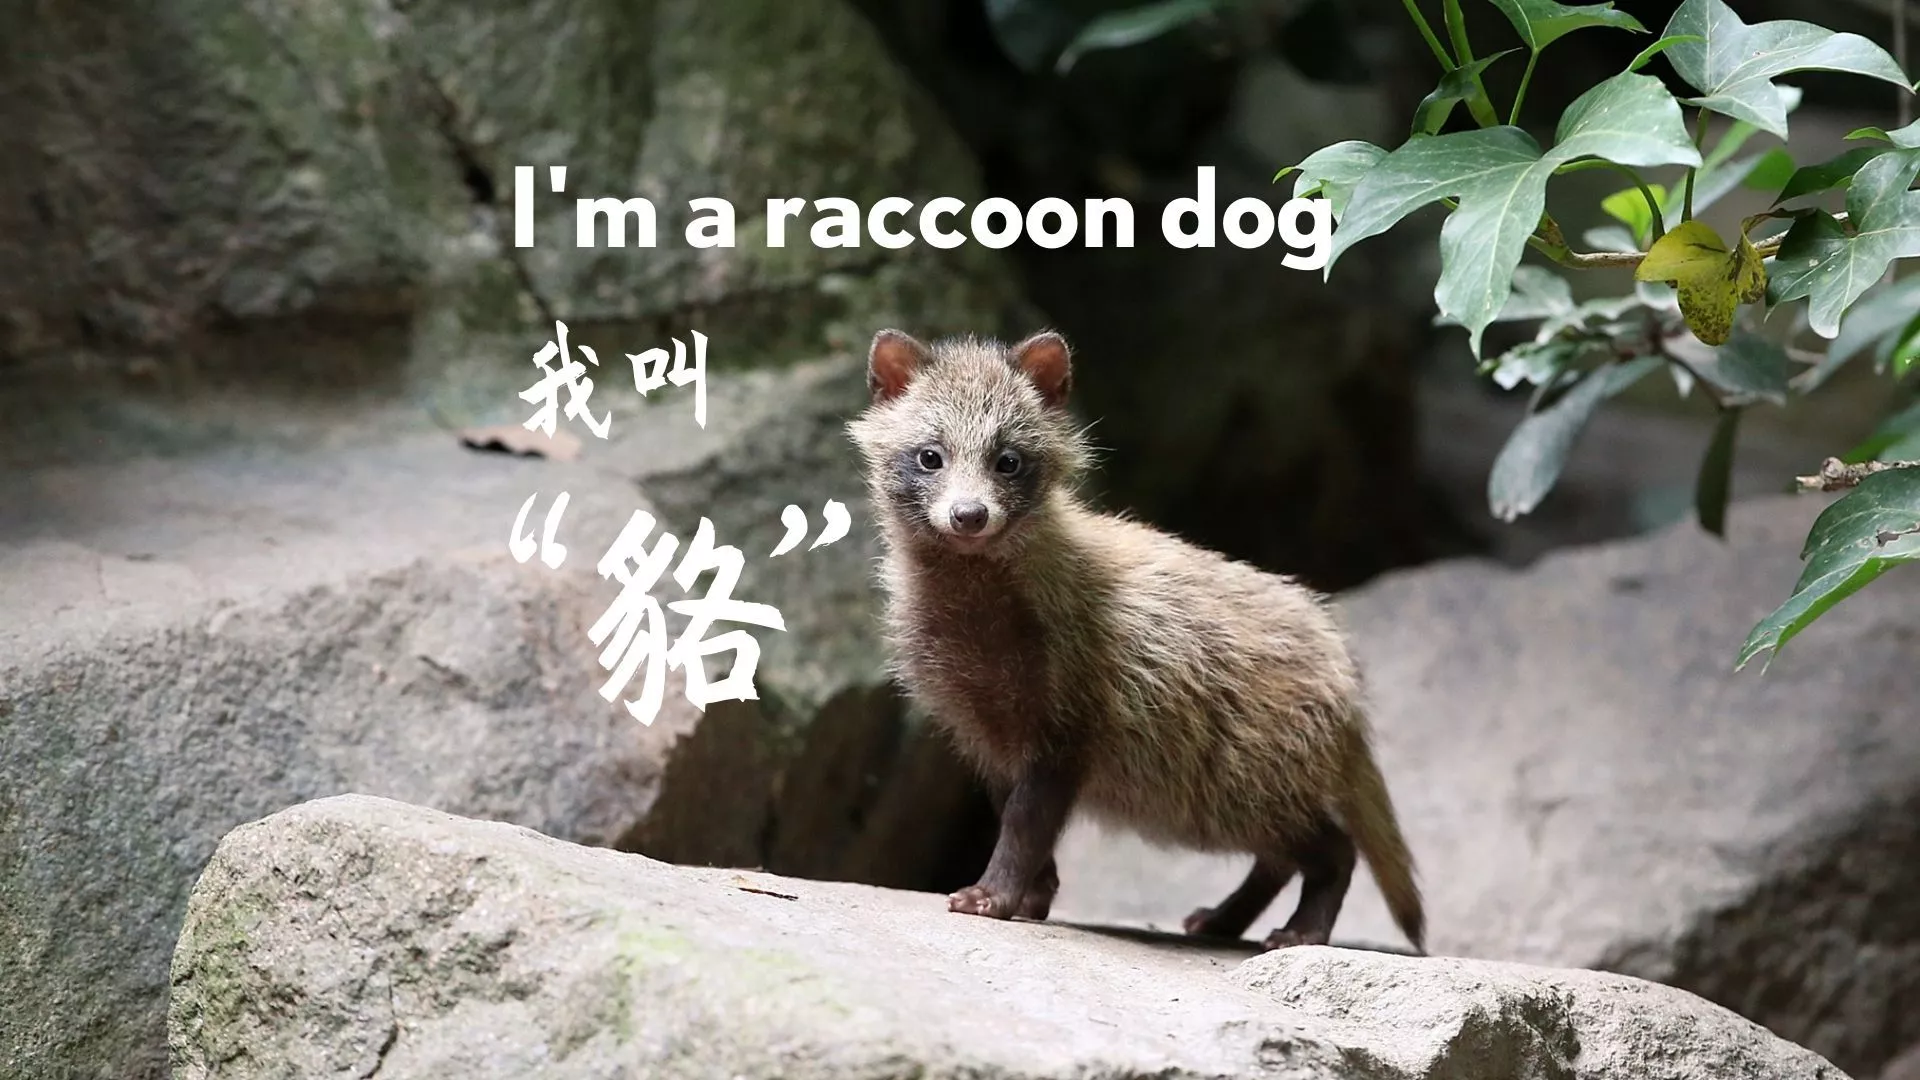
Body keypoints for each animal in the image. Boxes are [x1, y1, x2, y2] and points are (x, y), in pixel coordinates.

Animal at [844, 328, 1425, 953]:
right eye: (930, 455)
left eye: (1009, 460)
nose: (969, 514)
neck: (977, 635)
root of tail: (1347, 681)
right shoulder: (983, 734)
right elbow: (1016, 819)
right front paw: (1034, 897)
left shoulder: (1068, 728)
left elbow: (1025, 825)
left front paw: (991, 897)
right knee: (1280, 861)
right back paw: (1219, 921)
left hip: (1245, 786)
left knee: (1334, 850)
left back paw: (1299, 933)